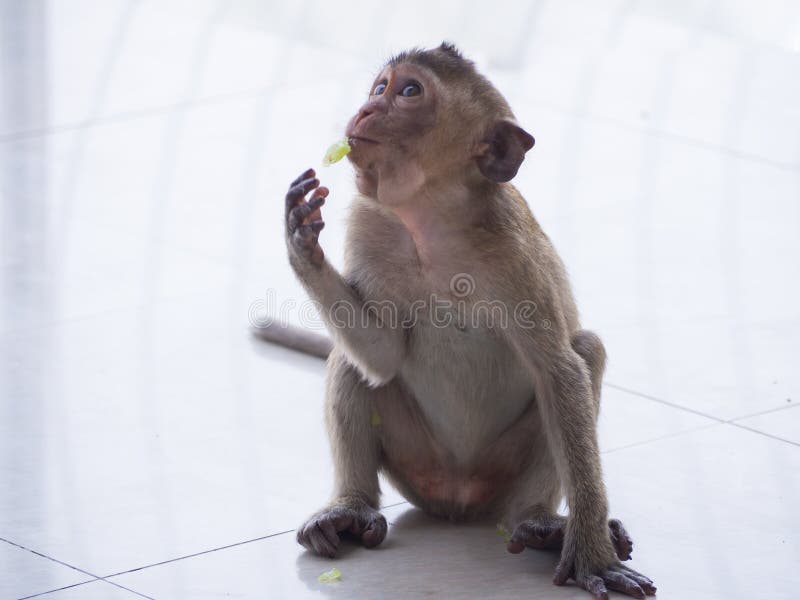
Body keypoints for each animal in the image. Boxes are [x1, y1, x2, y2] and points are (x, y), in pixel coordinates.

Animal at [276, 43, 656, 599]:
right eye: (380, 87)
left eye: (409, 91)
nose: (366, 109)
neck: (430, 222)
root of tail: (458, 499)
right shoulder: (368, 224)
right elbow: (382, 357)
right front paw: (301, 238)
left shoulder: (513, 255)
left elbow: (559, 371)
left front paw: (592, 553)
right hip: (416, 462)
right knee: (350, 362)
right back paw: (350, 508)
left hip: (498, 473)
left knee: (585, 352)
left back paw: (538, 522)